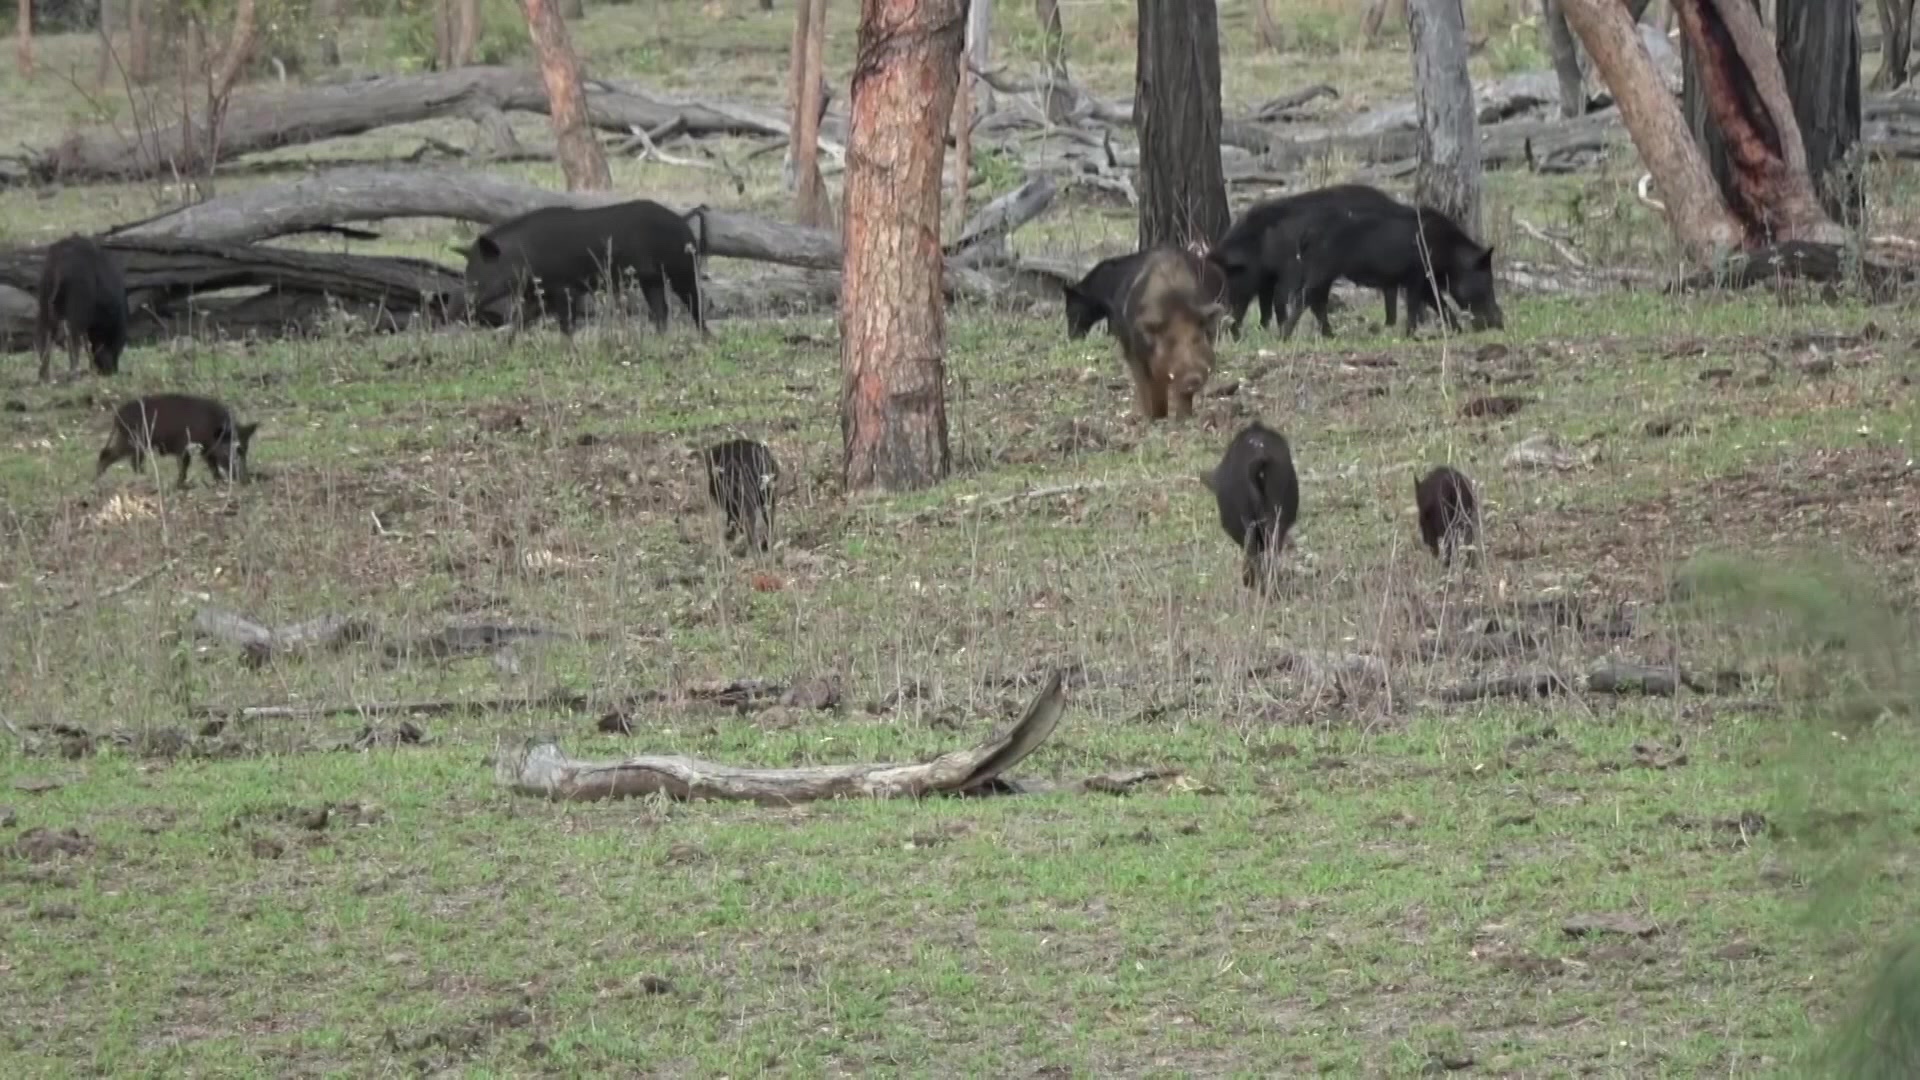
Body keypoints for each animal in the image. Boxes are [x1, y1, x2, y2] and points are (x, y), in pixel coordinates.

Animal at [34, 235, 129, 382]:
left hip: (45, 301)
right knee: (72, 339)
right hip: (76, 308)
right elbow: (86, 342)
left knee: (45, 335)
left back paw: (44, 376)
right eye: (117, 346)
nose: (111, 371)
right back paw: (74, 374)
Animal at [96, 394, 259, 489]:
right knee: (111, 455)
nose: (246, 481)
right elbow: (184, 465)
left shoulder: (206, 450)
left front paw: (219, 482)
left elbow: (212, 465)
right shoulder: (184, 446)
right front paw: (181, 485)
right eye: (228, 450)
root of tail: (116, 417)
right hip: (132, 441)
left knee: (120, 457)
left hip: (132, 442)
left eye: (245, 449)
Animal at [1112, 248, 1225, 420]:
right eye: (1170, 342)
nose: (1192, 377)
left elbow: (1183, 396)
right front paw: (1155, 418)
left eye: (1197, 339)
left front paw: (1184, 418)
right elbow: (1149, 388)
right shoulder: (1137, 355)